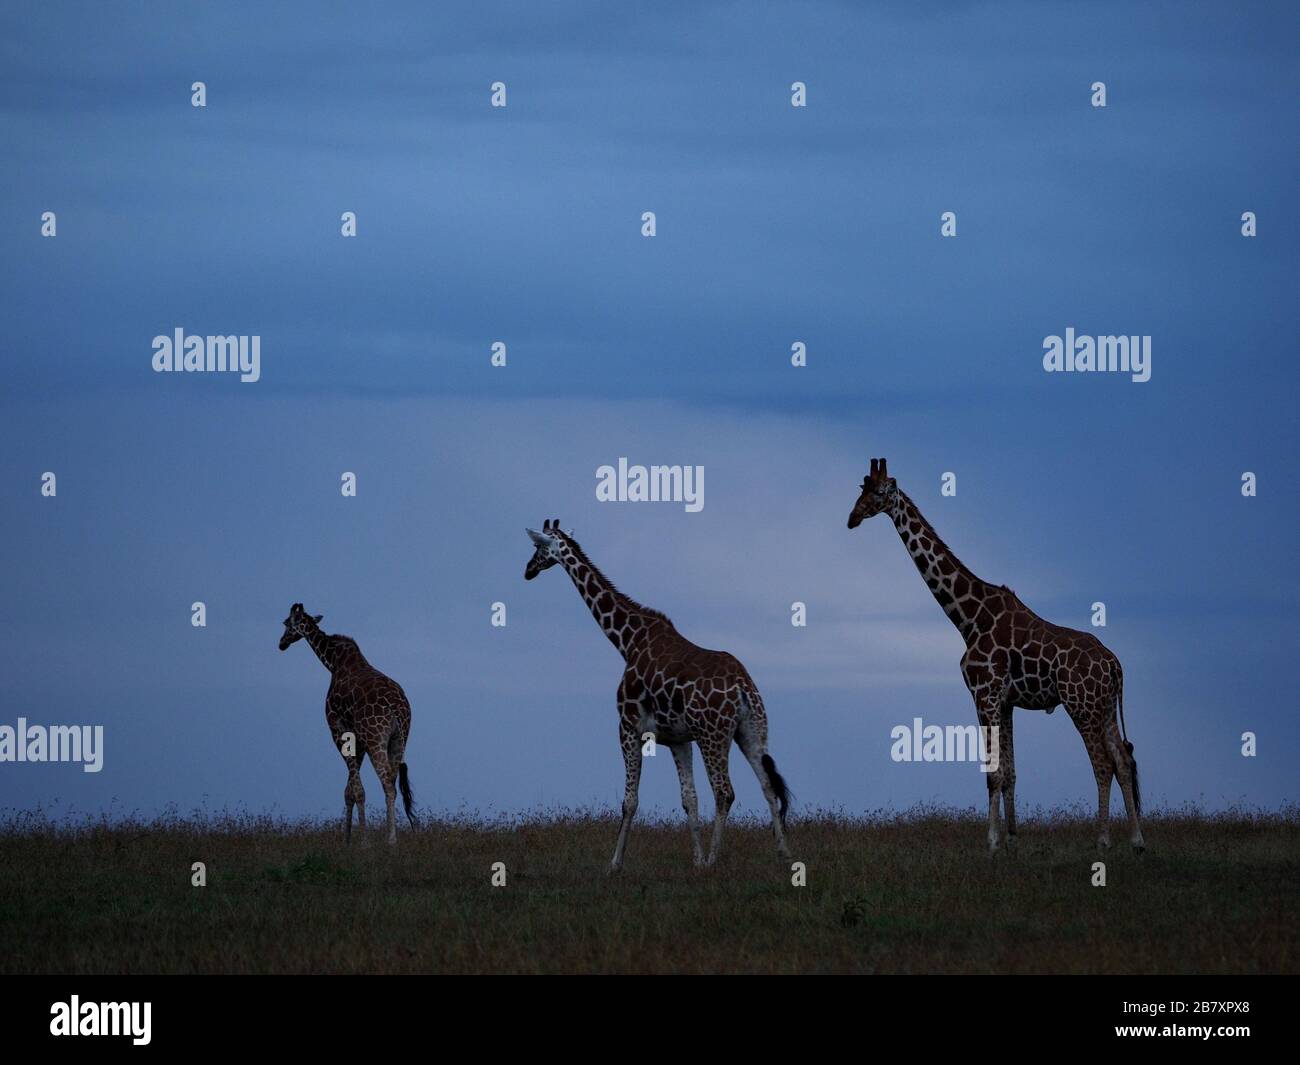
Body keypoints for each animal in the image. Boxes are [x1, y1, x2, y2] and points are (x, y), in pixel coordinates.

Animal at [278, 603, 417, 845]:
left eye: (286, 623)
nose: (281, 643)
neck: (333, 662)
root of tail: (397, 708)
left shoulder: (338, 729)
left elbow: (356, 789)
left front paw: (362, 841)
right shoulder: (358, 740)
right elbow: (349, 790)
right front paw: (347, 839)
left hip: (375, 738)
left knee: (387, 782)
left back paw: (391, 839)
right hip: (400, 738)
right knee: (392, 780)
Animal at [524, 520, 792, 872]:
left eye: (537, 548)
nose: (527, 570)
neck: (628, 641)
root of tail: (743, 688)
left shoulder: (628, 727)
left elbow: (629, 800)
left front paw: (615, 864)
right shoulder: (678, 739)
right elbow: (689, 799)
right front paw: (694, 860)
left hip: (713, 735)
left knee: (725, 792)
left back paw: (715, 860)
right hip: (751, 731)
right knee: (767, 786)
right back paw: (784, 855)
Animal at [847, 459, 1144, 853]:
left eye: (879, 492)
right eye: (860, 489)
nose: (852, 518)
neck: (968, 617)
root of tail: (1115, 665)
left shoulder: (983, 694)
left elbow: (992, 773)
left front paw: (990, 842)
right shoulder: (1005, 702)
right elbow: (1010, 774)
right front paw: (1012, 839)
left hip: (1081, 705)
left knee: (1103, 764)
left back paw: (1104, 840)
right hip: (1105, 706)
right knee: (1124, 760)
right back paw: (1138, 840)